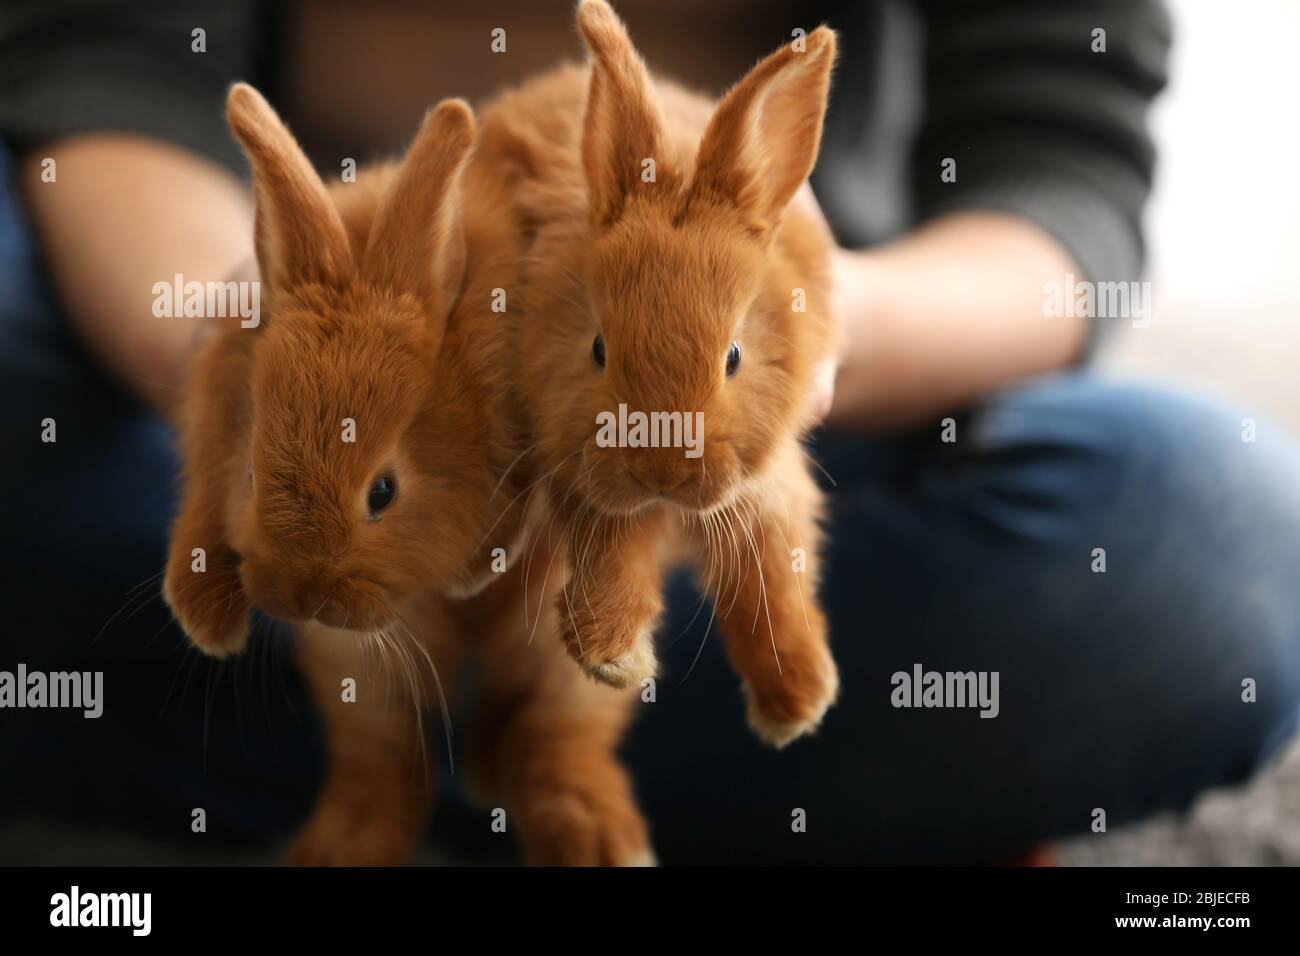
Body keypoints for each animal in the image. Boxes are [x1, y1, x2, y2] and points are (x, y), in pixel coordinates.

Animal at [161, 83, 651, 866]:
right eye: (252, 474)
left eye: (384, 492)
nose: (303, 598)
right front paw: (204, 618)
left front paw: (479, 567)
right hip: (360, 674)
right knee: (384, 754)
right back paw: (345, 844)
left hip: (555, 674)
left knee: (555, 733)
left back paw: (595, 837)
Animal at [475, 0, 840, 748]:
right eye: (598, 349)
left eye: (733, 357)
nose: (663, 472)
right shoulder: (582, 478)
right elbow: (611, 557)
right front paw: (615, 659)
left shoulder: (766, 485)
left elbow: (775, 576)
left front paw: (797, 701)